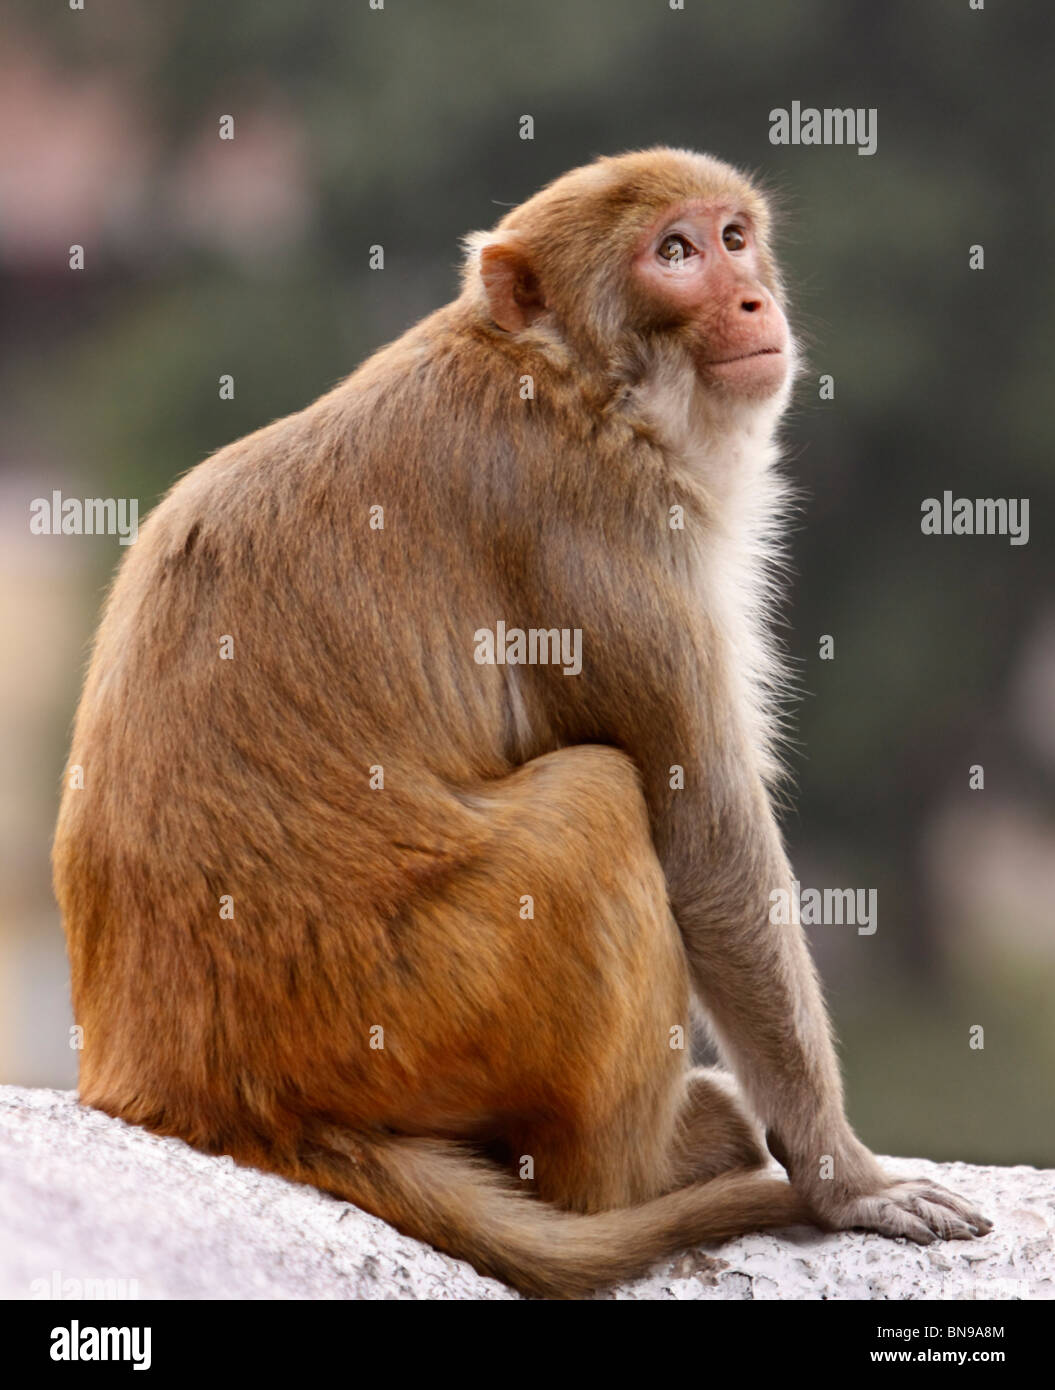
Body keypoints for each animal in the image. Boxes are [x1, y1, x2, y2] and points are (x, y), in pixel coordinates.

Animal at [53, 148, 991, 1299]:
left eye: (732, 238)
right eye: (672, 253)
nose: (750, 298)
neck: (573, 380)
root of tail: (219, 1102)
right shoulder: (602, 524)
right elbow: (706, 842)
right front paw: (844, 1179)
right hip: (414, 1009)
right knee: (598, 802)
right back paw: (638, 1174)